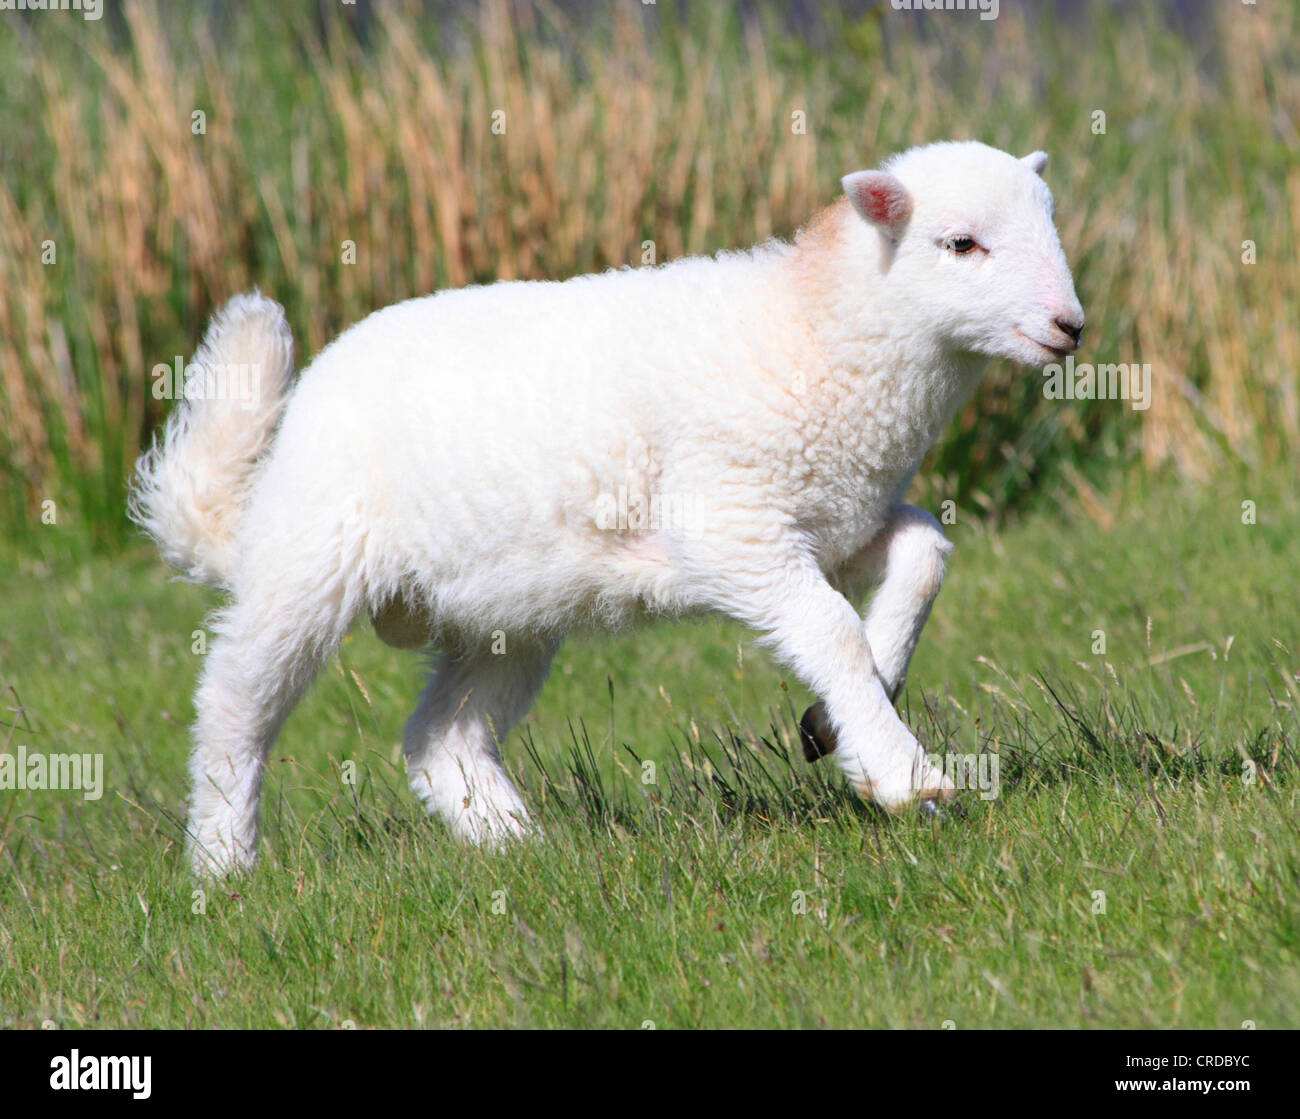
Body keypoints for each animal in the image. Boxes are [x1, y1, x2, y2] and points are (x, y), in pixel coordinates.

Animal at [130, 140, 1084, 876]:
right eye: (960, 243)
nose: (1070, 325)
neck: (818, 326)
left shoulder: (833, 517)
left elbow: (924, 553)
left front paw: (837, 721)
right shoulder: (733, 525)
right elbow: (830, 628)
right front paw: (901, 773)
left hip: (503, 609)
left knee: (442, 738)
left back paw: (519, 848)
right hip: (307, 559)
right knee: (233, 705)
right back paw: (223, 865)